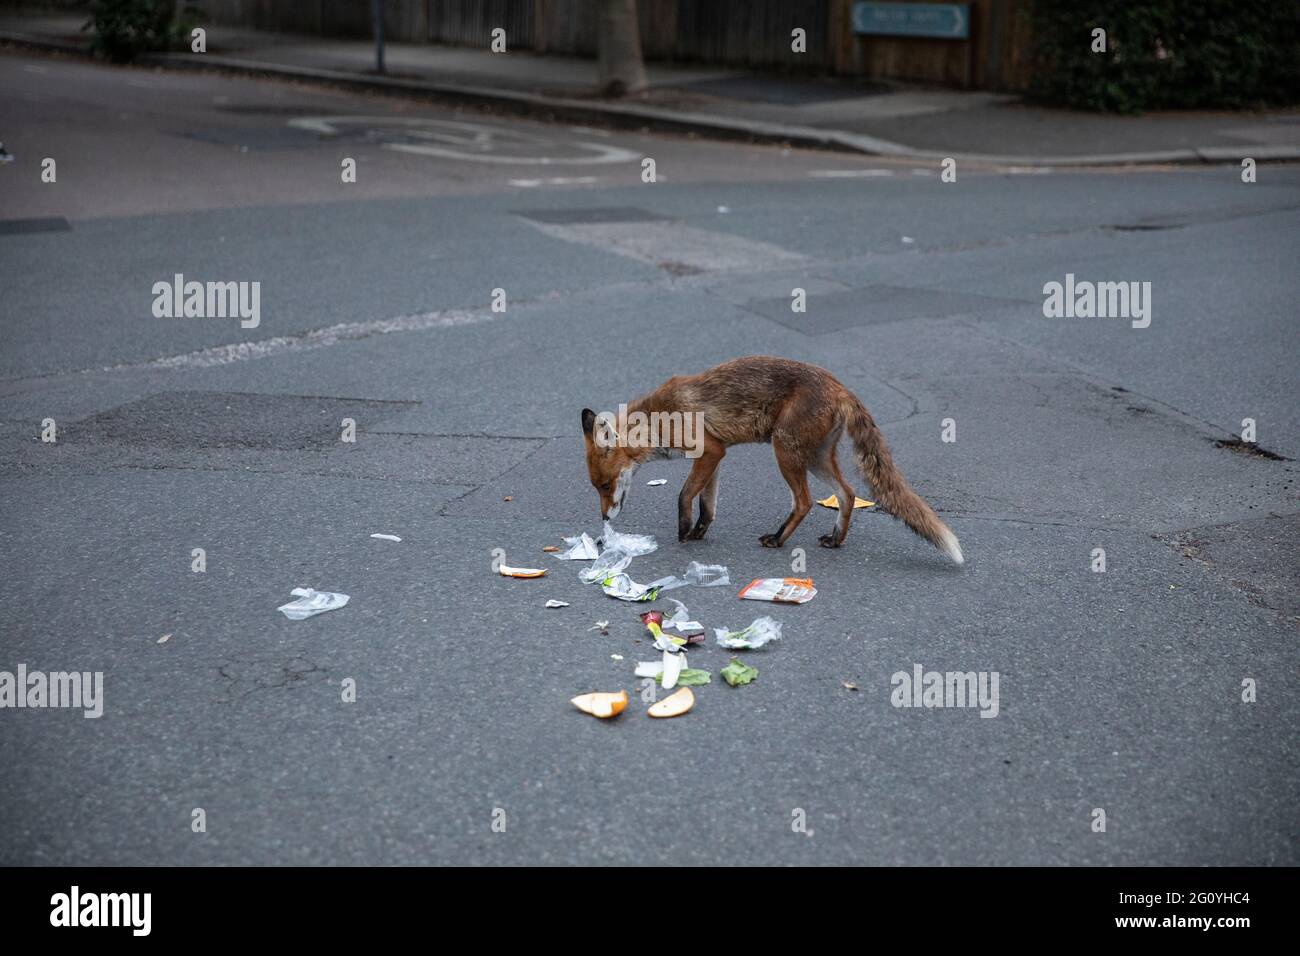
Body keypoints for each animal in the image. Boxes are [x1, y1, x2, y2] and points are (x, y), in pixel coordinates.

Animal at [581, 356, 963, 563]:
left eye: (605, 485)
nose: (604, 518)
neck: (658, 420)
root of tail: (839, 385)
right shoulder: (715, 455)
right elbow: (707, 503)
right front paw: (700, 530)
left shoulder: (709, 450)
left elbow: (684, 495)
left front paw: (684, 530)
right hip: (815, 458)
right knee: (848, 493)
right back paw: (835, 539)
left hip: (786, 451)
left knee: (805, 501)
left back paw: (778, 539)